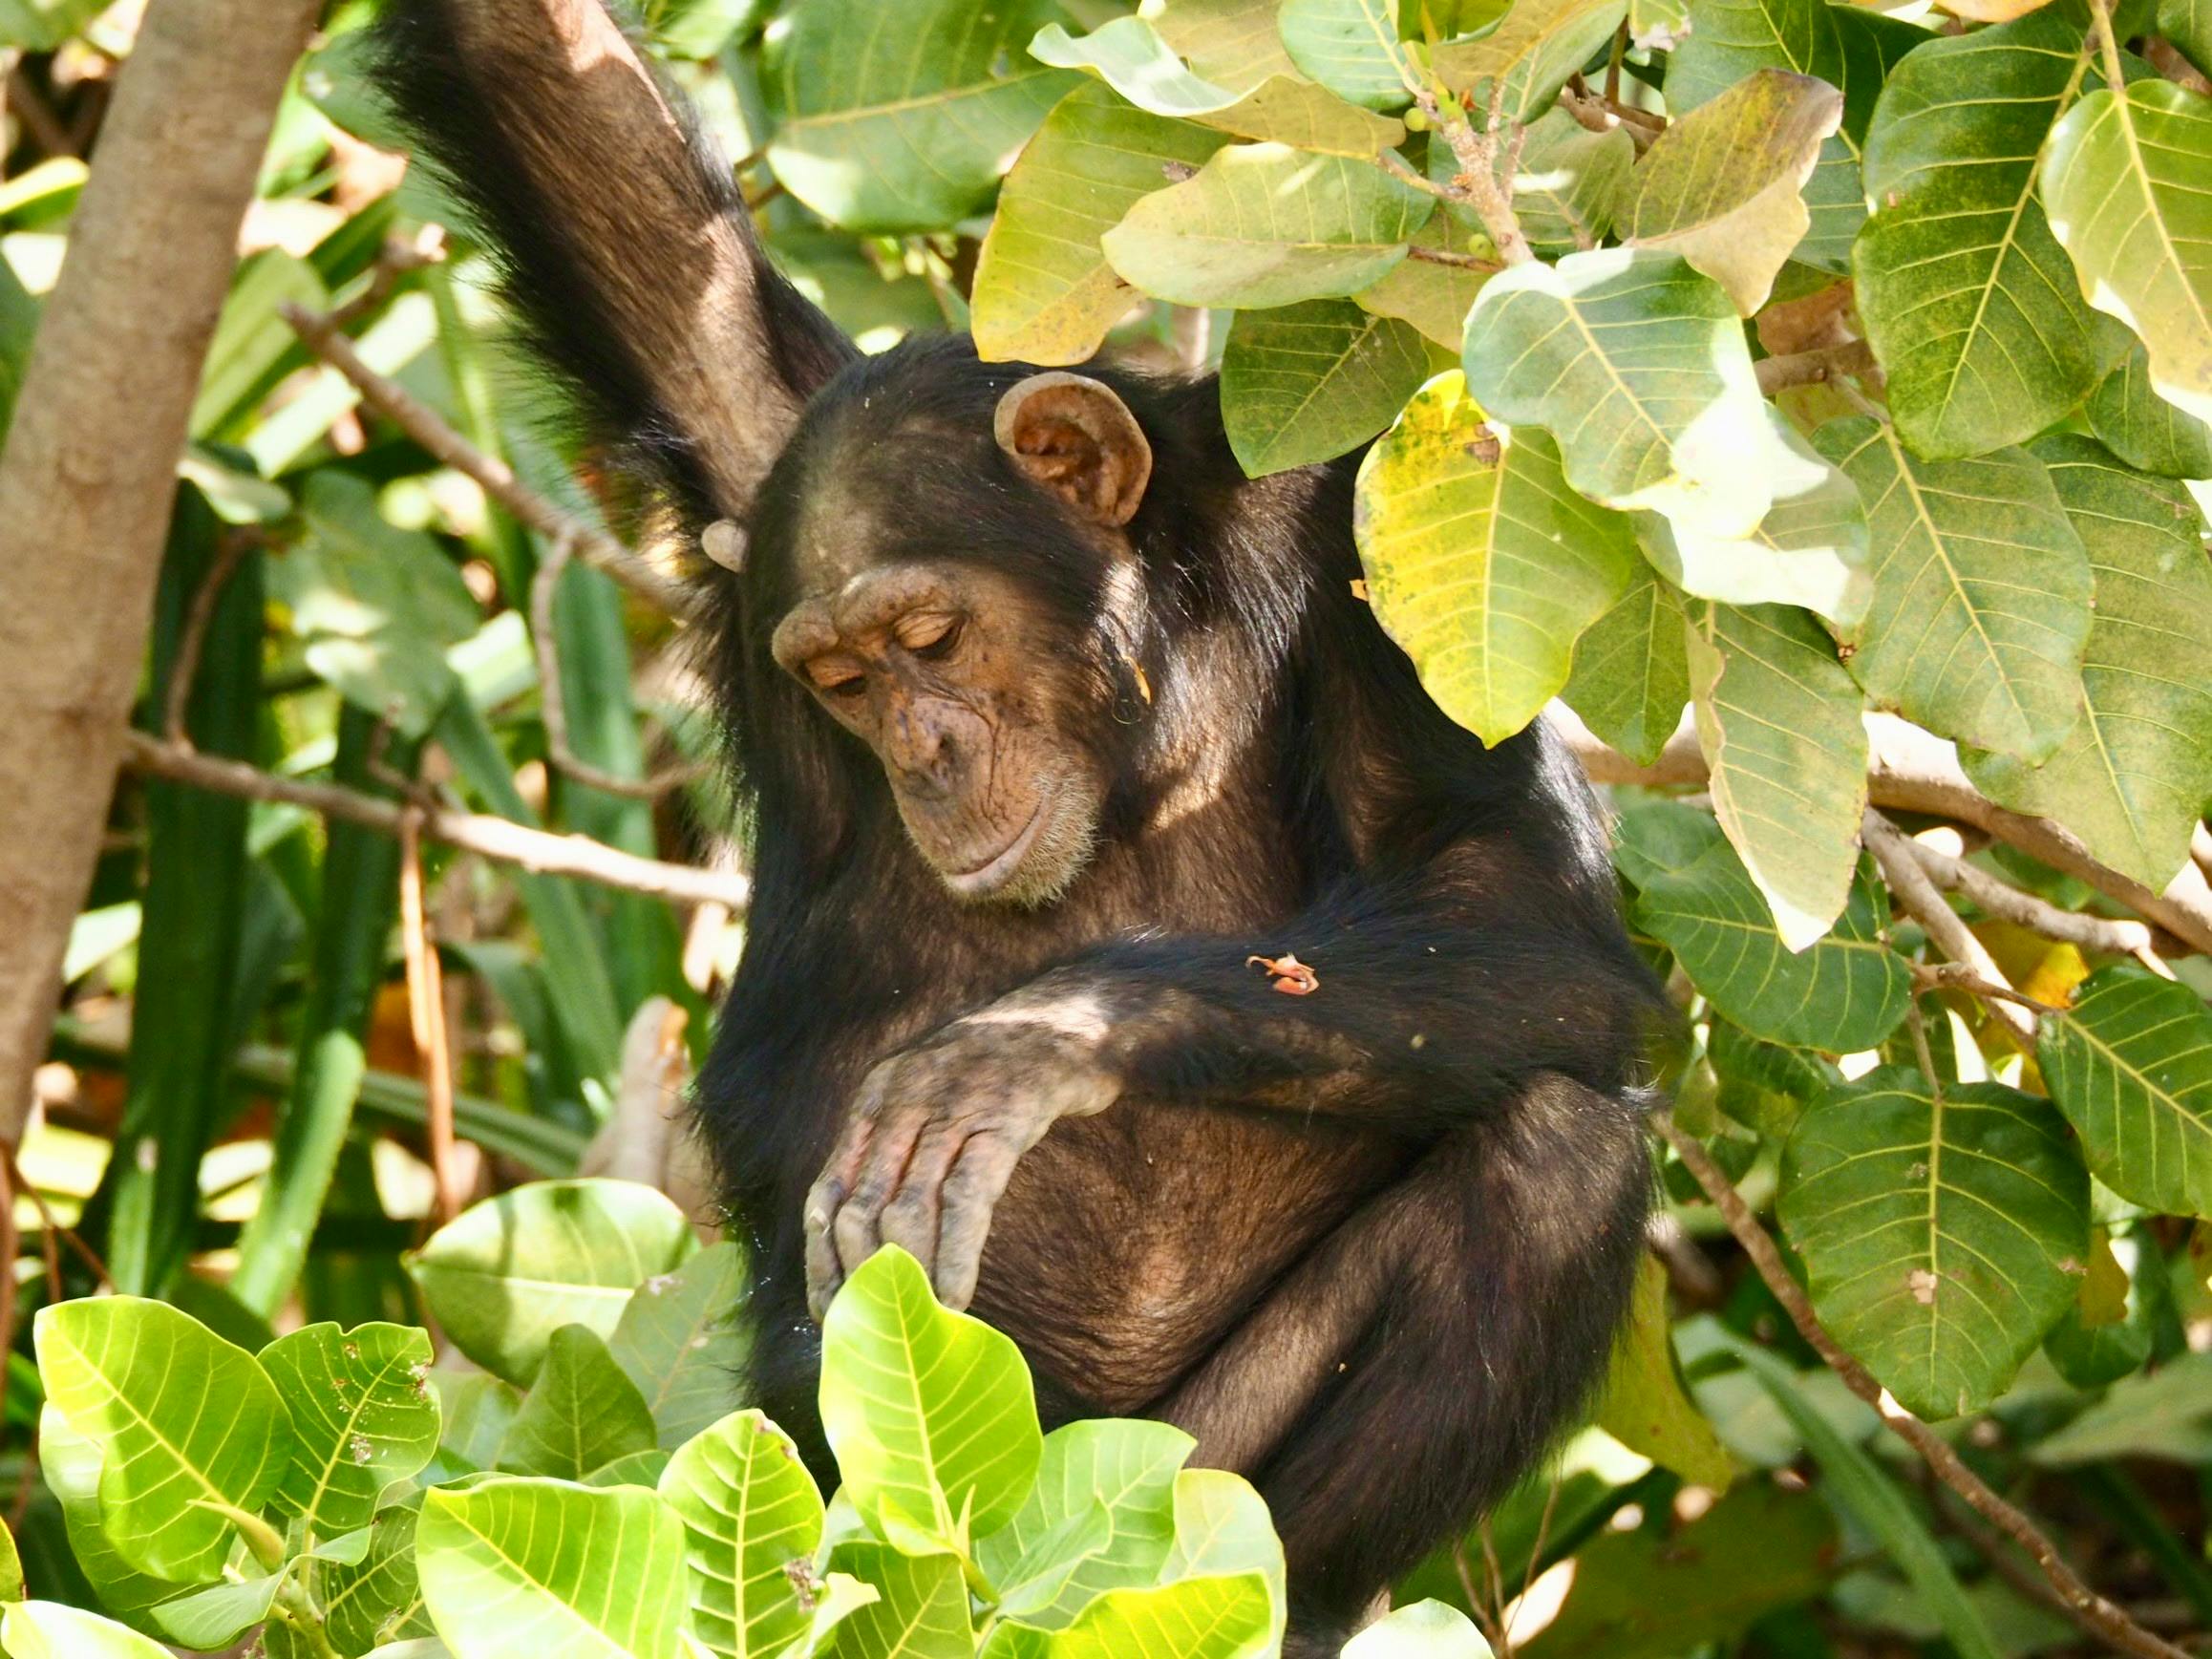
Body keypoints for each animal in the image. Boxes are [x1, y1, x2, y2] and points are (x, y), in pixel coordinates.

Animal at [369, 4, 1662, 1650]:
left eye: (930, 634)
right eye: (840, 677)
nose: (925, 749)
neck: (1148, 698)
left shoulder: (1373, 545)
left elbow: (1517, 901)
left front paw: (1047, 1040)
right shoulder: (742, 445)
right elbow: (574, 131)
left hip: (1160, 1494)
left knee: (1559, 1158)